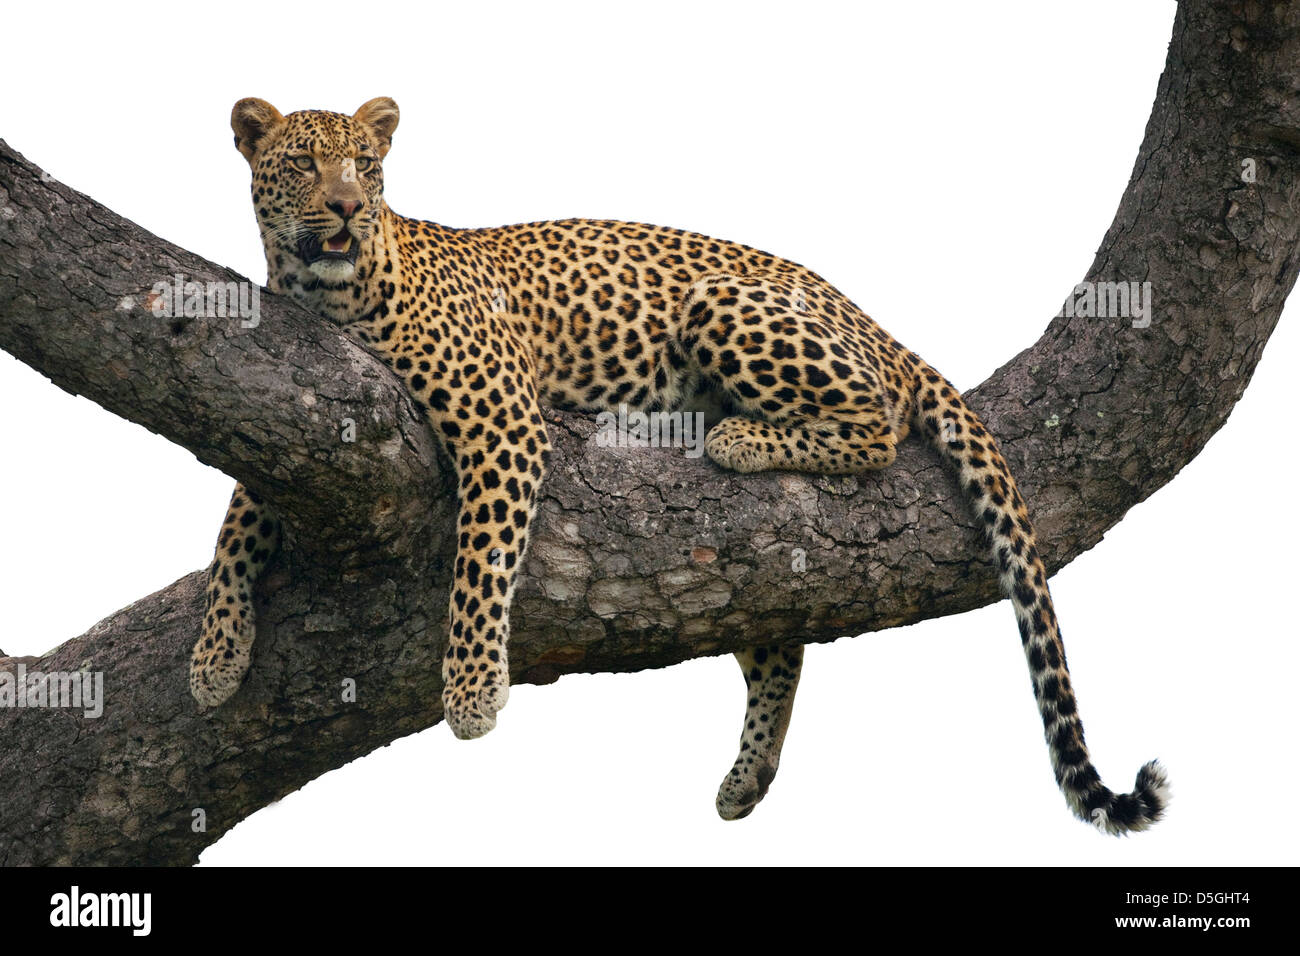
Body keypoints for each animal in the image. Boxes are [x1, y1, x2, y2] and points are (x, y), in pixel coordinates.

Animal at [190, 96, 1170, 831]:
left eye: (366, 164)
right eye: (305, 164)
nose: (348, 209)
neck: (331, 295)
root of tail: (868, 317)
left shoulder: (504, 422)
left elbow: (479, 564)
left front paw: (469, 691)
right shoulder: (298, 412)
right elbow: (235, 525)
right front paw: (215, 656)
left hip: (724, 304)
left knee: (875, 426)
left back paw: (740, 436)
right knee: (781, 646)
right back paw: (748, 776)